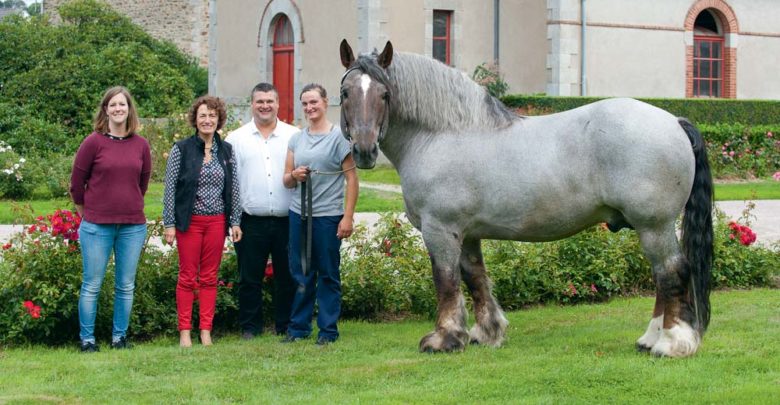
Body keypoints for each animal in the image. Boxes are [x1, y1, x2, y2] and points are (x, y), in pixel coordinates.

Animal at [338, 39, 713, 357]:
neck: (442, 135)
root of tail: (674, 121)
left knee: (672, 273)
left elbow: (446, 281)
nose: (364, 150)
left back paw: (672, 343)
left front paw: (444, 338)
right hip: (651, 227)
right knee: (661, 277)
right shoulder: (467, 233)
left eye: (384, 94)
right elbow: (475, 278)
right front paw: (487, 333)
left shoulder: (440, 230)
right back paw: (650, 338)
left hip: (654, 225)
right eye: (345, 92)